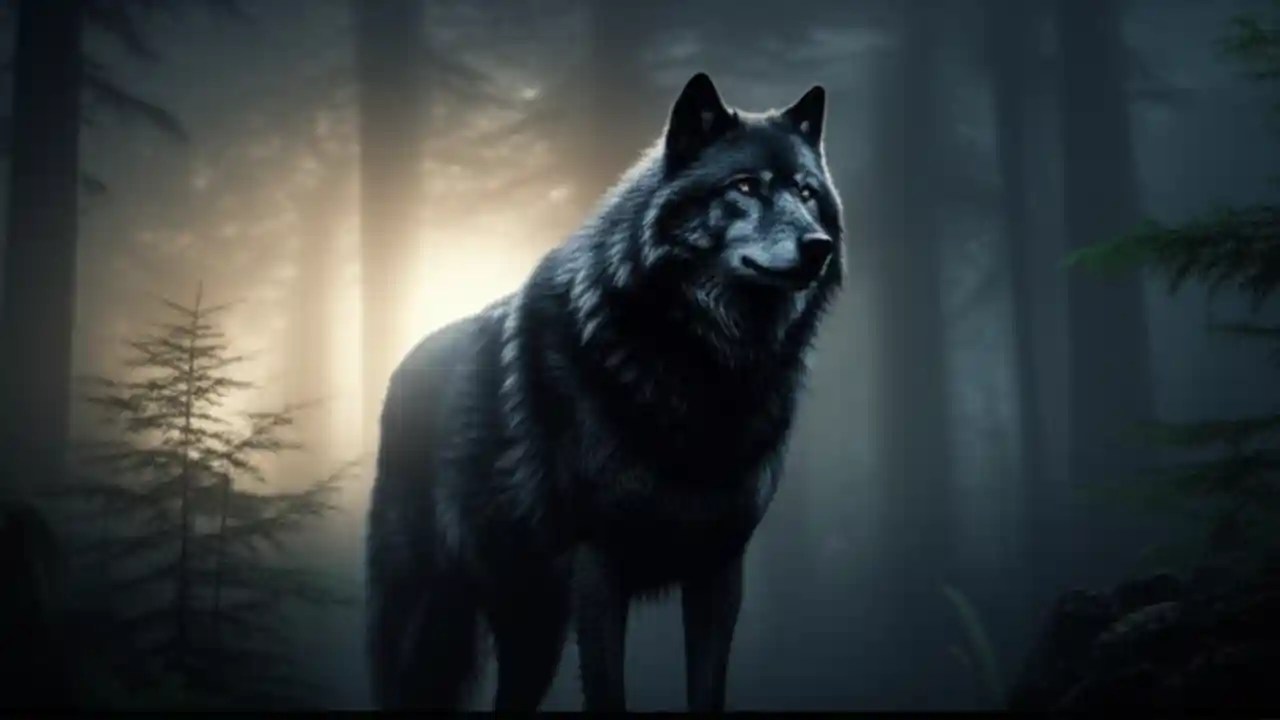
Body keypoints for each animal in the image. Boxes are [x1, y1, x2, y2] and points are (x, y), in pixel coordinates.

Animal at [366, 72, 845, 711]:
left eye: (807, 193)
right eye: (745, 185)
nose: (817, 245)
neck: (698, 367)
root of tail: (399, 370)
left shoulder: (719, 566)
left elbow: (708, 690)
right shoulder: (598, 562)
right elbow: (608, 692)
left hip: (533, 629)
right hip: (432, 621)